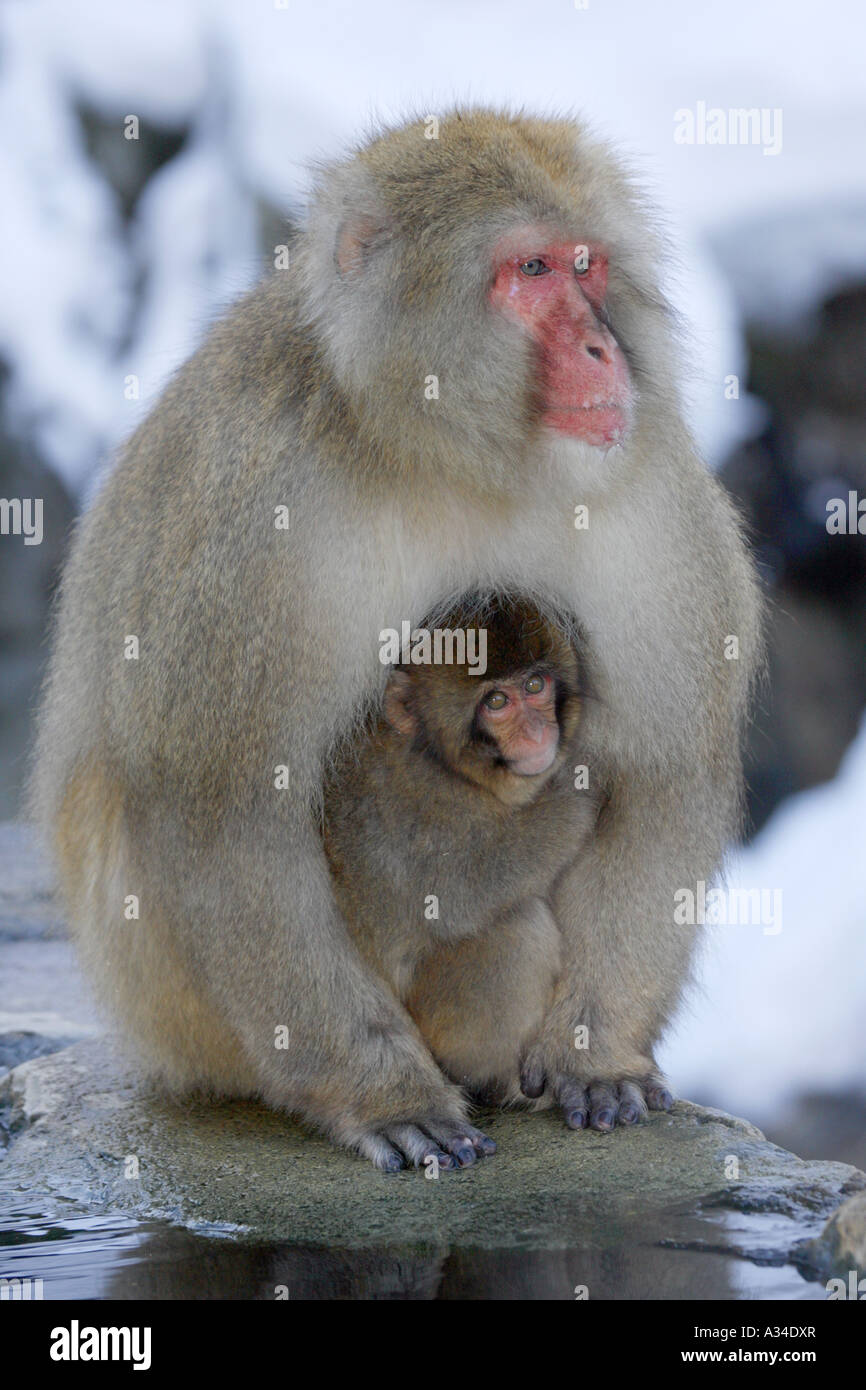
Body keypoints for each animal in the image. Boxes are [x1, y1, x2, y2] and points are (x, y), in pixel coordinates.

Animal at [323, 596, 600, 1116]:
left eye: (535, 685)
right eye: (496, 702)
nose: (537, 732)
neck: (438, 760)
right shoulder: (421, 807)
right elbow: (456, 891)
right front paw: (582, 793)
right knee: (517, 929)